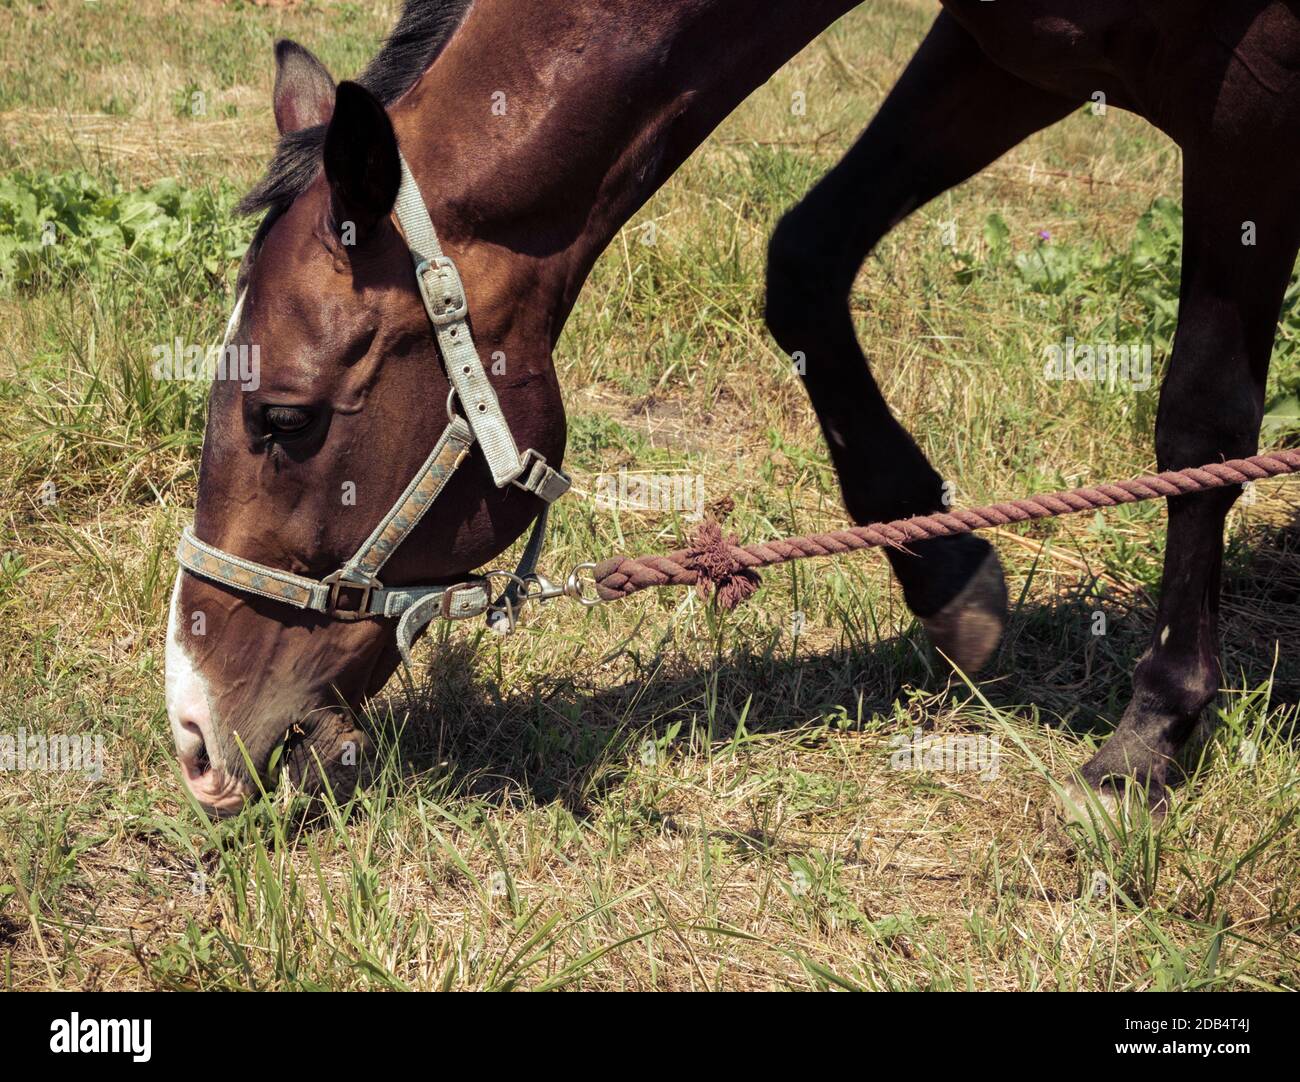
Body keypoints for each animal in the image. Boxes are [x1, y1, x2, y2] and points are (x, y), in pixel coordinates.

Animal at [166, 0, 1300, 816]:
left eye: (286, 419)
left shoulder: (1252, 103)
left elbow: (1202, 418)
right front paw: (945, 576)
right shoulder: (1005, 53)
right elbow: (801, 258)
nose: (193, 735)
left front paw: (1151, 736)